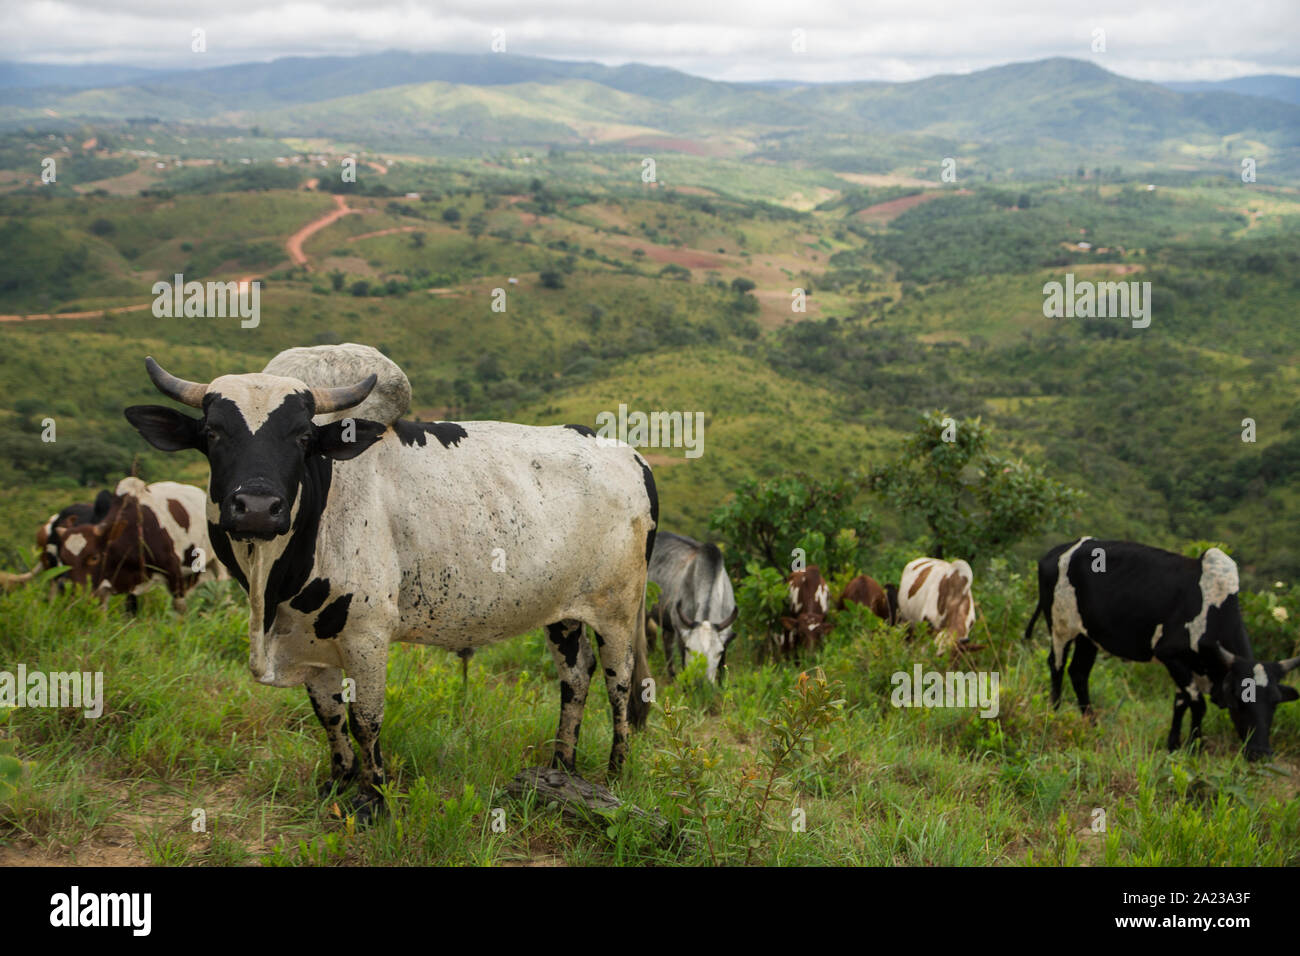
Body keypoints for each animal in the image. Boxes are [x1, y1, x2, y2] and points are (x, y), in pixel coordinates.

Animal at [124, 349, 657, 823]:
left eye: (301, 436)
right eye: (213, 432)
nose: (256, 507)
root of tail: (626, 453)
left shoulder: (366, 636)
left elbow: (366, 719)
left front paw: (373, 797)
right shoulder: (312, 639)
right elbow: (329, 715)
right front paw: (338, 782)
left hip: (617, 611)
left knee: (619, 684)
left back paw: (615, 772)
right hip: (563, 613)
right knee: (576, 677)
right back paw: (561, 768)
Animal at [646, 531, 738, 684]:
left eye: (718, 652)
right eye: (689, 649)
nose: (701, 683)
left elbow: (722, 666)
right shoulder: (681, 635)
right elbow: (684, 665)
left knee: (666, 639)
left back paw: (672, 675)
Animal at [1025, 537, 1299, 760]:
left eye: (1275, 702)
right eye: (1240, 701)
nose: (1261, 753)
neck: (1214, 608)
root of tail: (1054, 553)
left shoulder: (1189, 666)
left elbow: (1181, 702)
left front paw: (1173, 745)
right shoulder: (1170, 655)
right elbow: (1197, 703)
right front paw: (1195, 746)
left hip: (1088, 636)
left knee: (1079, 673)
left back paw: (1091, 724)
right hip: (1061, 627)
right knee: (1057, 666)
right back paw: (1055, 714)